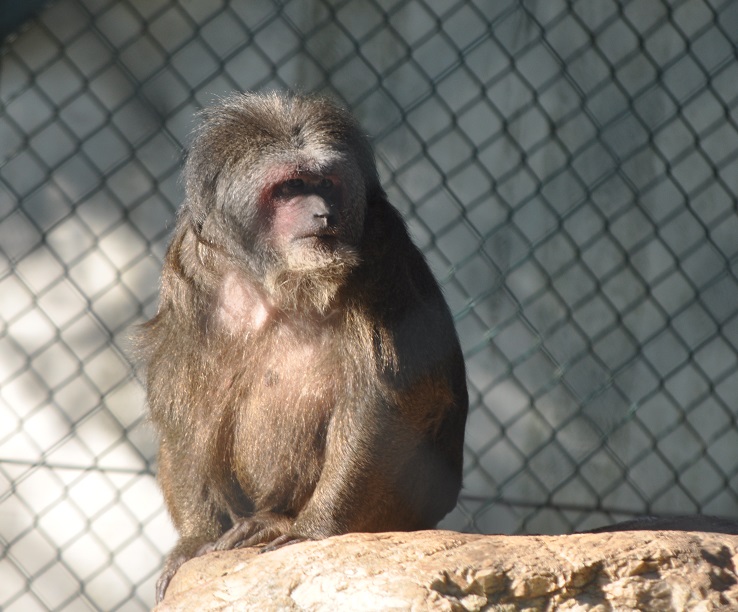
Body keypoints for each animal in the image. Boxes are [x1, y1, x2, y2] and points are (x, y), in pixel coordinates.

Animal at [137, 92, 468, 603]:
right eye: (291, 187)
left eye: (325, 184)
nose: (322, 213)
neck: (278, 274)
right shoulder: (190, 260)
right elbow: (181, 396)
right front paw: (194, 538)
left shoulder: (383, 245)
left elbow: (388, 397)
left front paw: (316, 529)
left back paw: (277, 519)